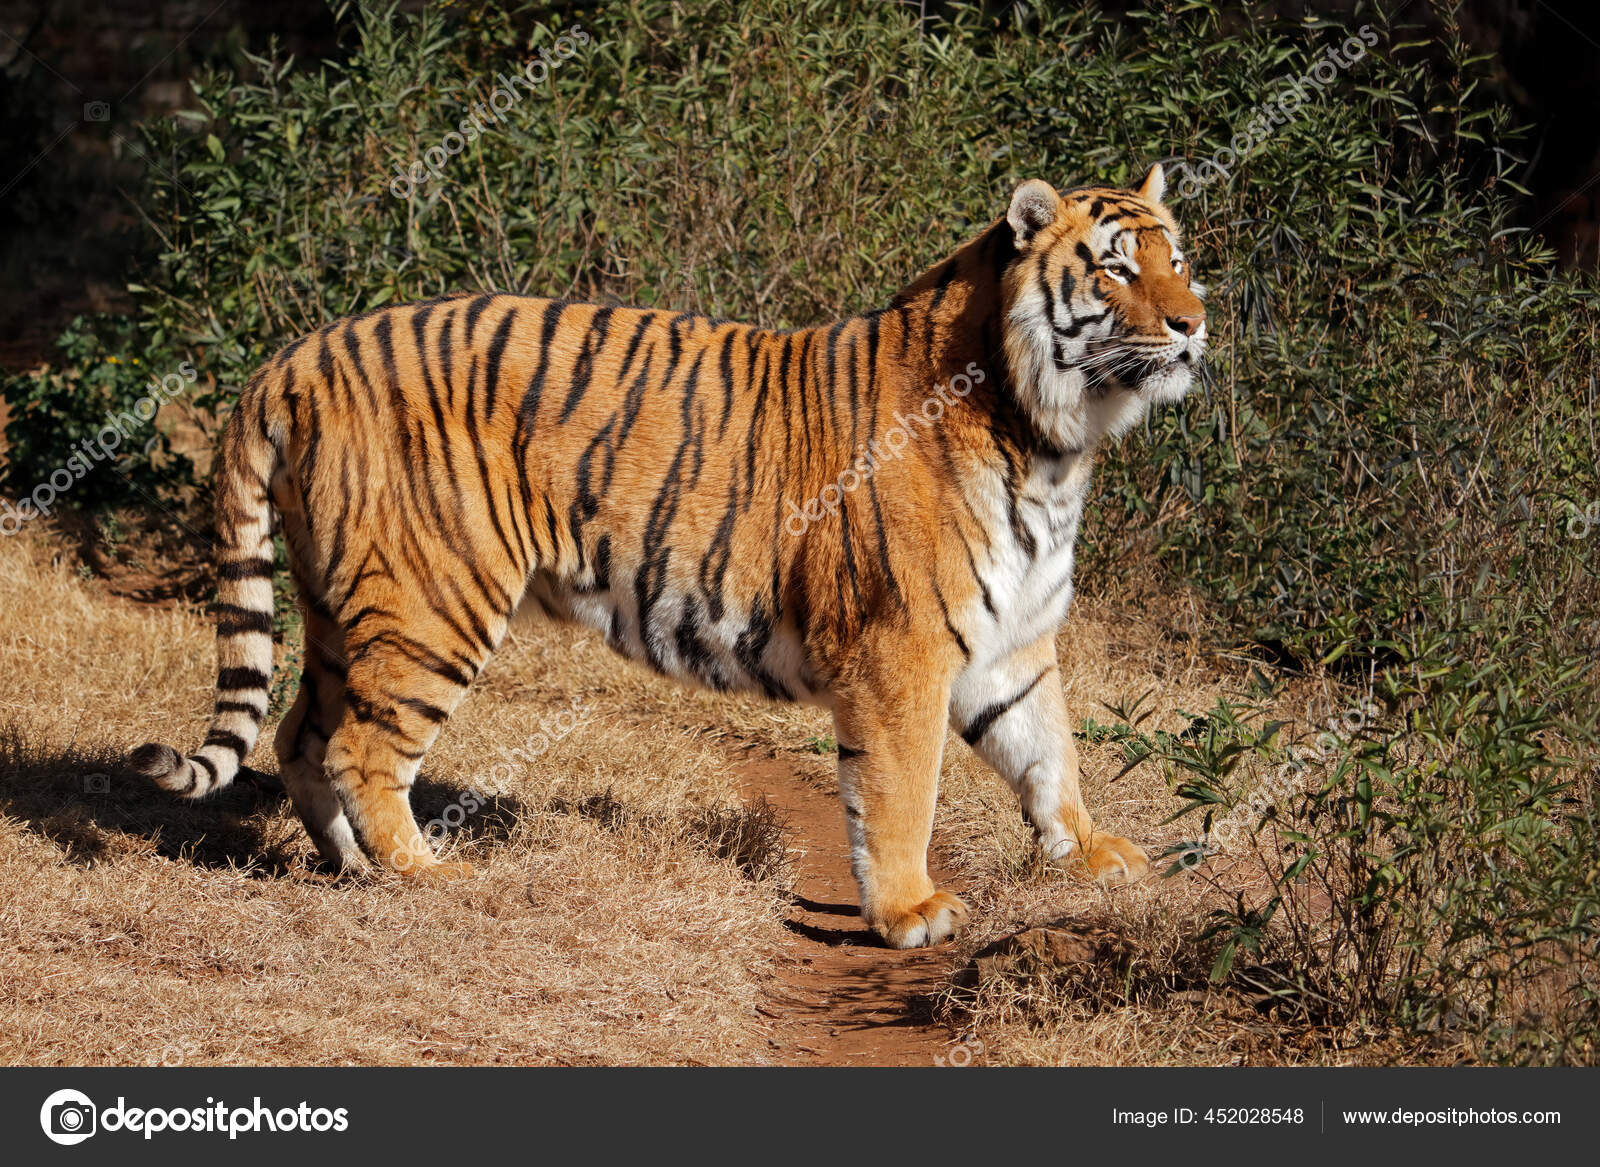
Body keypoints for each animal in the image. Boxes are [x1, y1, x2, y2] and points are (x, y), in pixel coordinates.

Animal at [132, 162, 1206, 949]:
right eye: (1116, 269)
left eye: (1181, 261)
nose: (1195, 324)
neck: (1054, 443)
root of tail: (294, 354)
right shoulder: (899, 647)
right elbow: (903, 791)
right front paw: (909, 911)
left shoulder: (1012, 640)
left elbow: (1049, 753)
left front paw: (1096, 853)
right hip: (432, 601)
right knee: (361, 746)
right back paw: (425, 874)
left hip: (340, 607)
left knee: (298, 734)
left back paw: (347, 866)